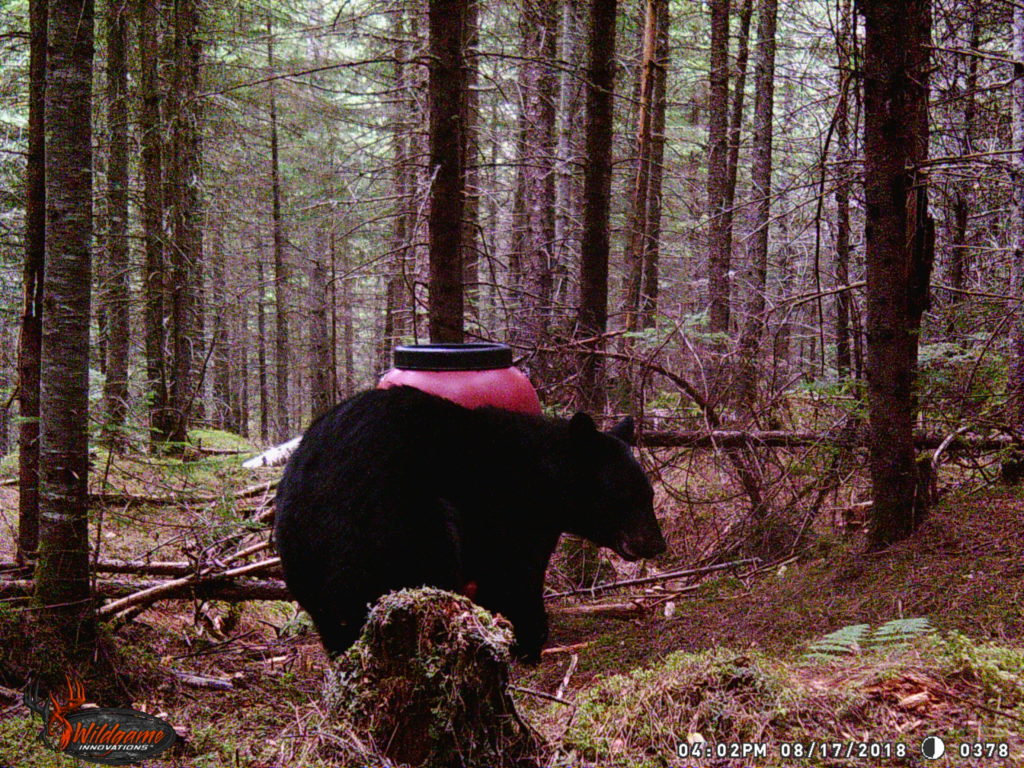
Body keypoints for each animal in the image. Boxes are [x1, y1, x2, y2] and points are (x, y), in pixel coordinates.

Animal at [273, 385, 666, 662]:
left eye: (648, 492)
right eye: (628, 496)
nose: (657, 544)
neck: (544, 478)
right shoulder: (507, 513)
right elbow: (513, 577)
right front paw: (527, 642)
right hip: (395, 523)